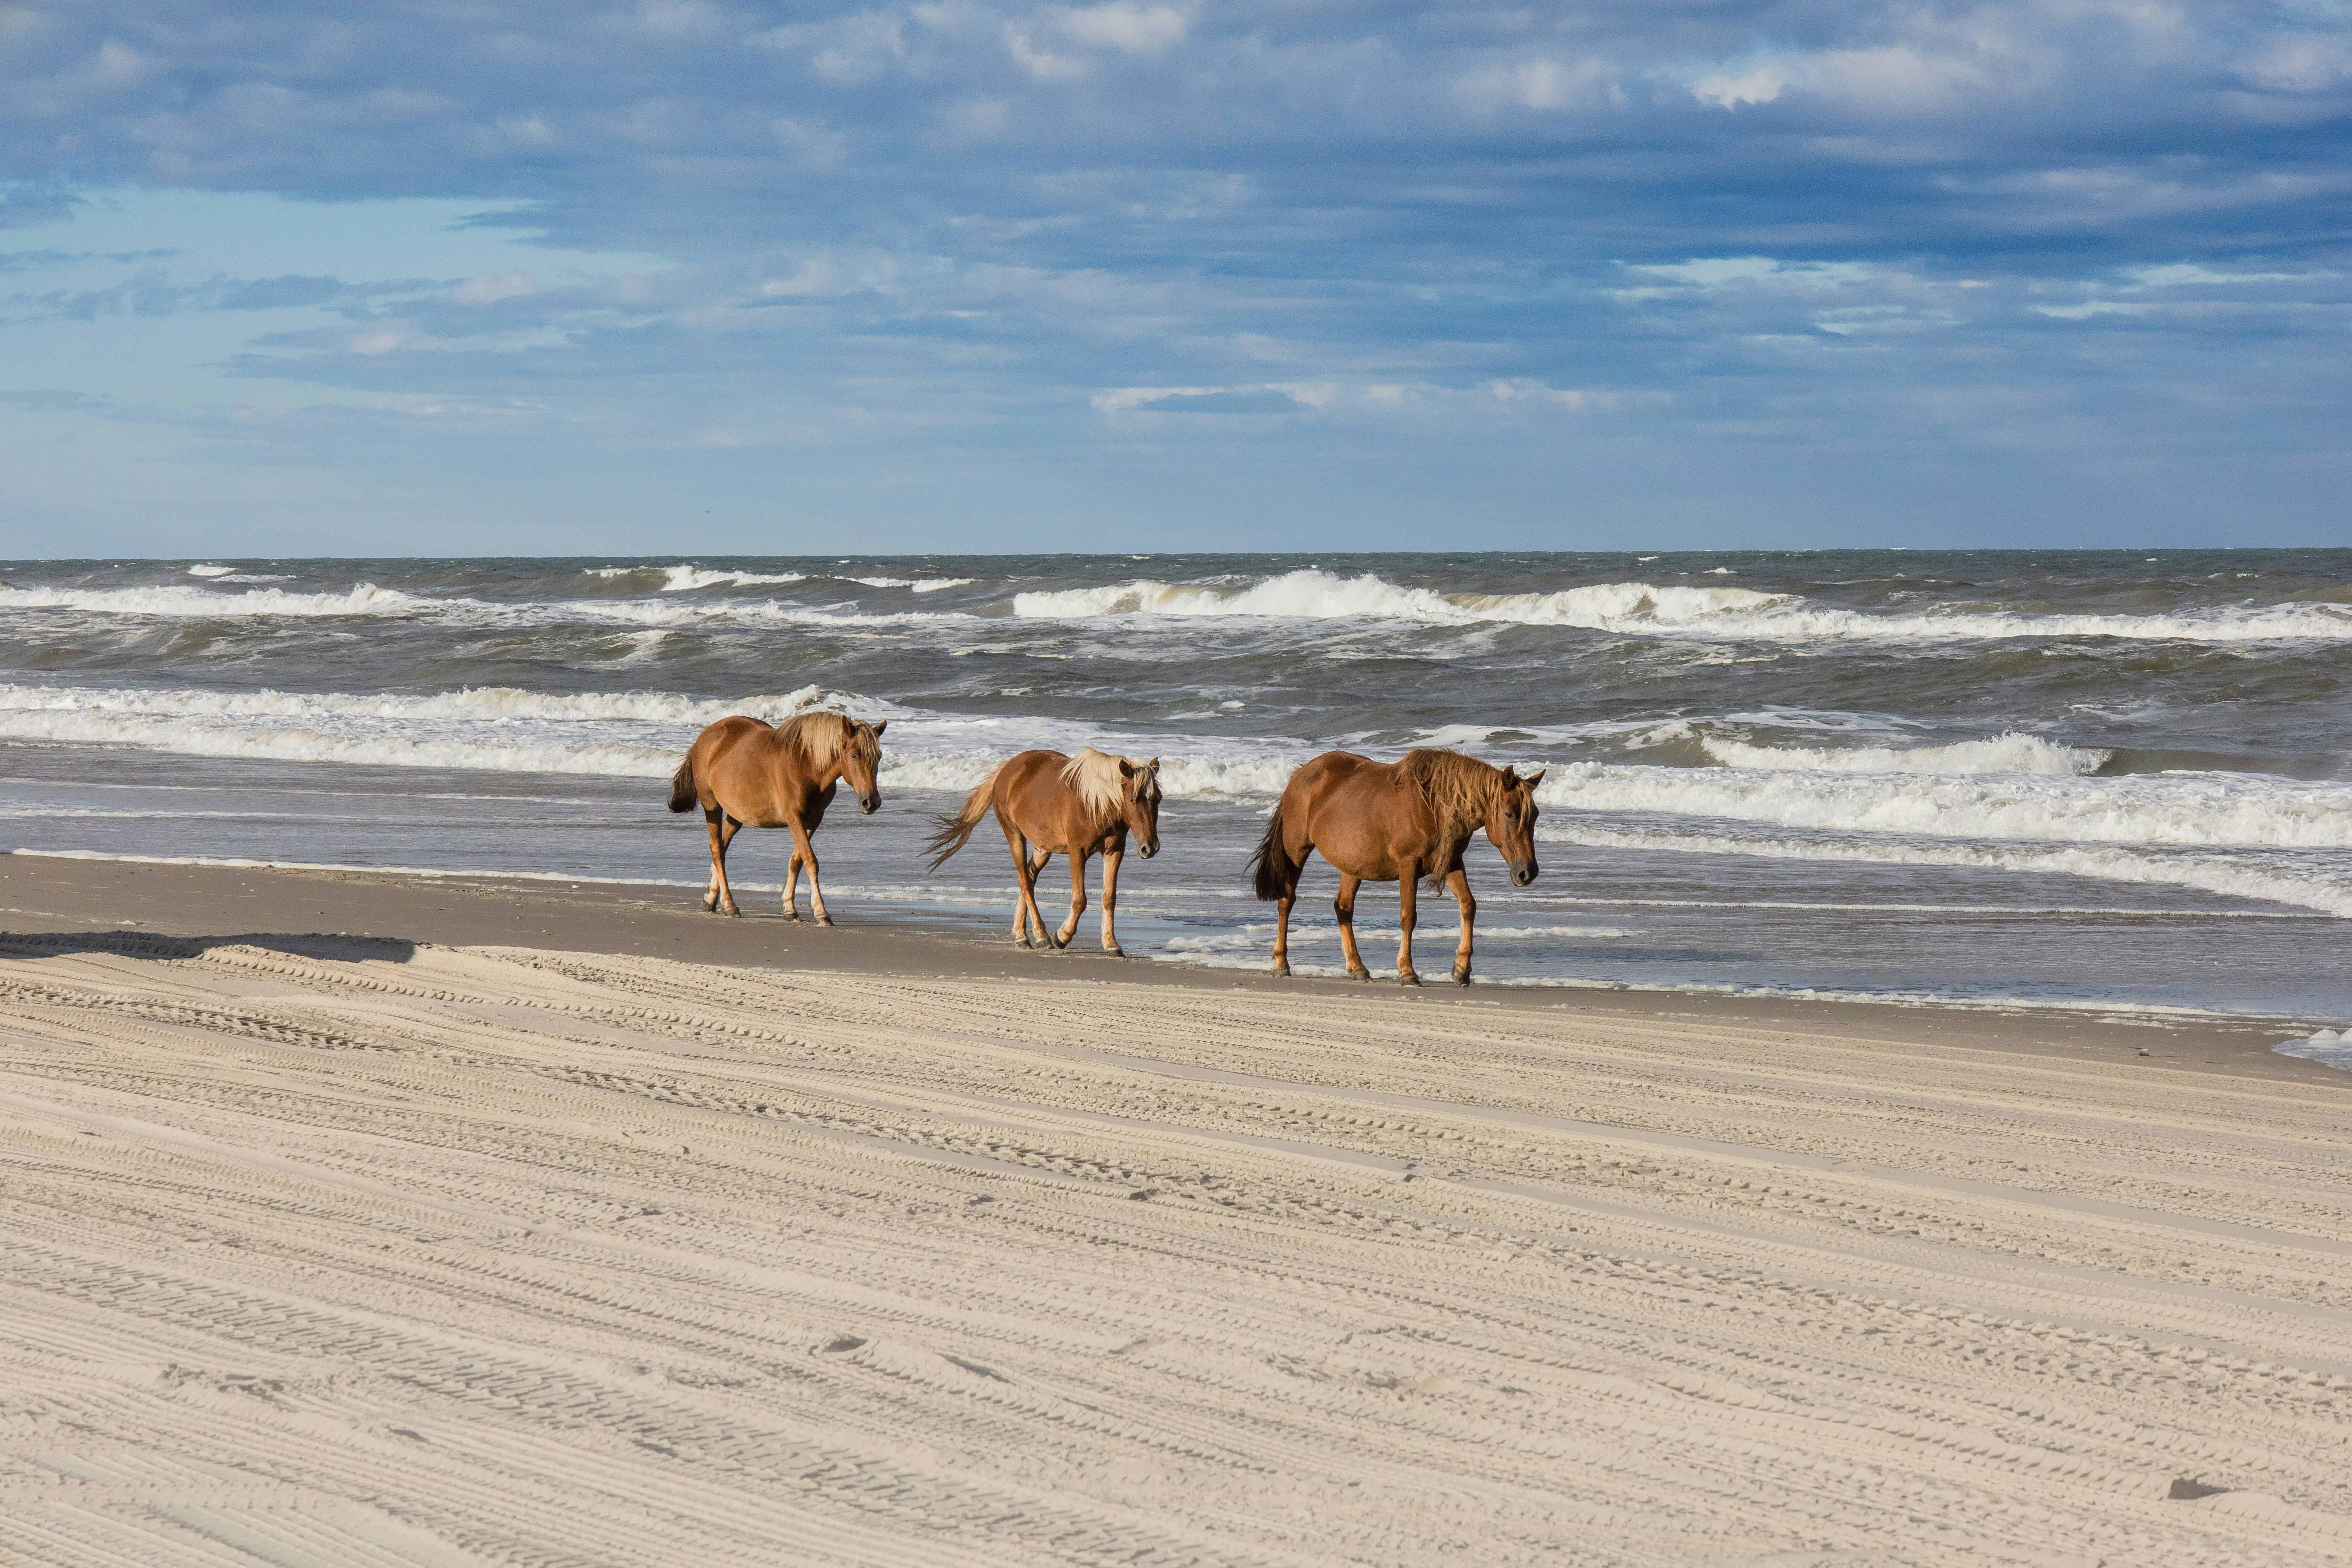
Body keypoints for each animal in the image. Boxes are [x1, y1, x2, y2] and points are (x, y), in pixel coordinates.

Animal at [672, 710, 889, 921]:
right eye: (854, 755)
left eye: (878, 757)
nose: (872, 802)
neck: (807, 765)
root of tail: (705, 736)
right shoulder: (794, 818)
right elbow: (811, 861)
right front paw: (821, 912)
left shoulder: (814, 820)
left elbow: (797, 862)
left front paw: (789, 907)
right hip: (712, 805)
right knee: (717, 850)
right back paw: (729, 905)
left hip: (737, 815)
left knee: (722, 847)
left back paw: (711, 898)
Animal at [926, 752, 1167, 959]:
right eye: (1133, 799)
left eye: (1158, 799)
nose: (1150, 848)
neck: (1096, 803)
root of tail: (1008, 768)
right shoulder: (1077, 853)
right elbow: (1080, 900)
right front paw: (1062, 936)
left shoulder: (1114, 851)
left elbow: (1109, 898)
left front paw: (1111, 944)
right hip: (1015, 836)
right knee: (1025, 882)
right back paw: (1039, 937)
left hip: (1042, 849)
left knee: (1029, 878)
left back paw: (1020, 933)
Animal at [1251, 752, 1543, 992]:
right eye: (1510, 814)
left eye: (1536, 815)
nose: (1528, 873)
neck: (1434, 805)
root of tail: (1301, 774)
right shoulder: (1408, 864)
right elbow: (1408, 917)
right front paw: (1407, 972)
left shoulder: (1452, 862)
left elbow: (1468, 906)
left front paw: (1461, 969)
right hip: (1296, 851)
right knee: (1286, 902)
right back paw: (1281, 964)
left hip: (1352, 865)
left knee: (1343, 908)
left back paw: (1358, 968)